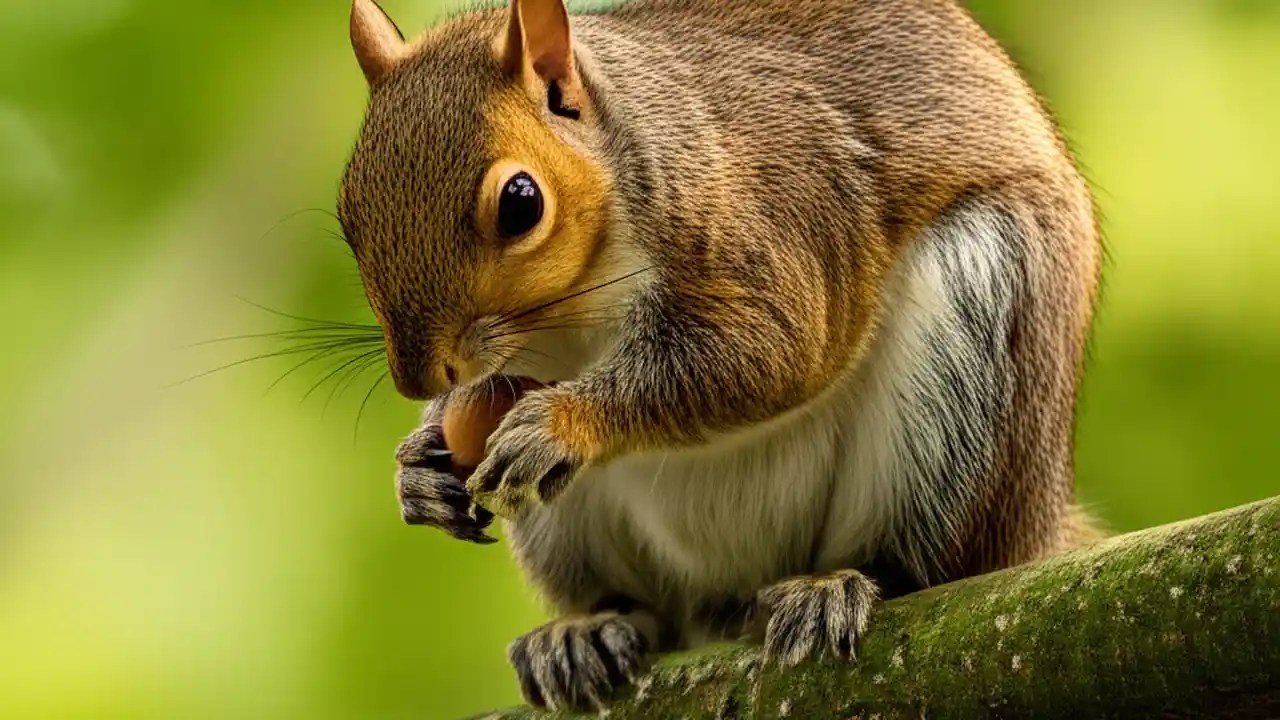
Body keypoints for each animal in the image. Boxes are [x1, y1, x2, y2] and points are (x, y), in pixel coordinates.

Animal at [338, 0, 1103, 711]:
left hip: (970, 343)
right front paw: (420, 464)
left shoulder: (780, 214)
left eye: (521, 203)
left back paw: (839, 587)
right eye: (348, 218)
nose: (418, 378)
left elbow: (772, 348)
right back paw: (582, 633)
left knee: (920, 564)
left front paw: (556, 425)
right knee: (648, 611)